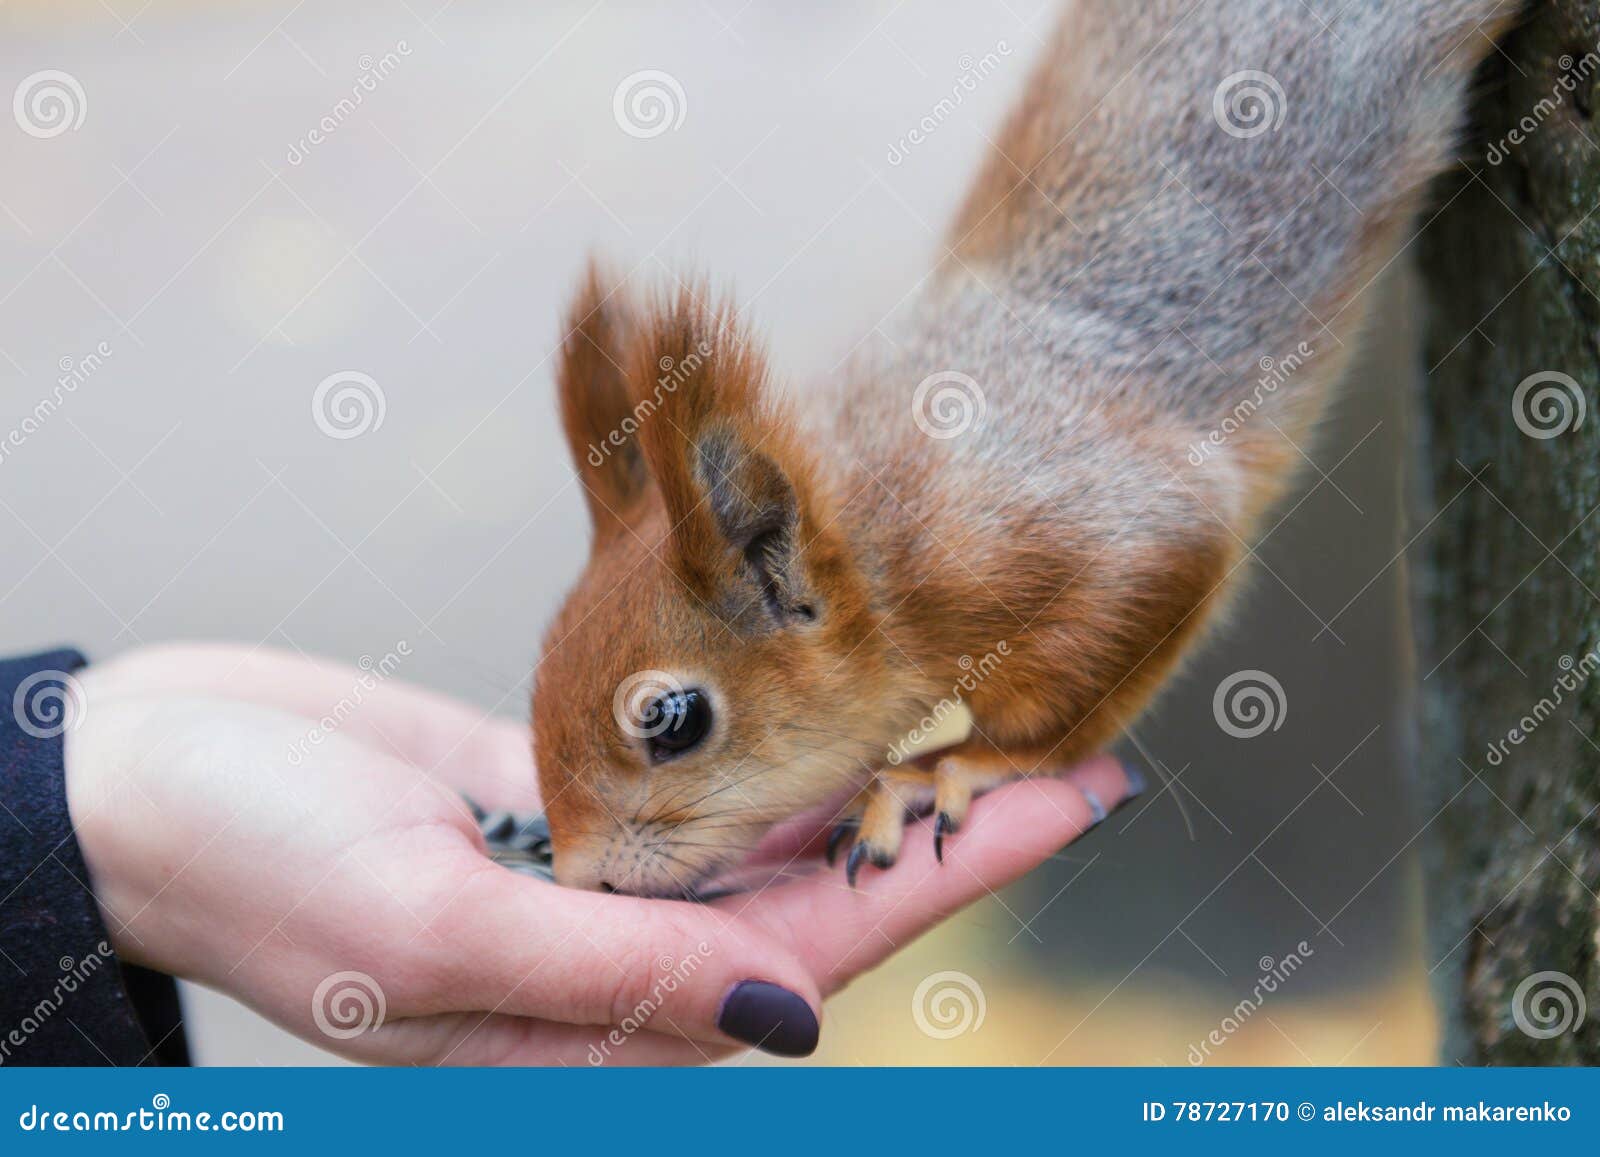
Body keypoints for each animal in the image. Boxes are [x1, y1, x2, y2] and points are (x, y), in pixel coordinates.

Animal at [531, 0, 1518, 897]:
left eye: (674, 718)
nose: (583, 878)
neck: (881, 535)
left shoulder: (1098, 532)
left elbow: (1076, 686)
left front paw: (948, 767)